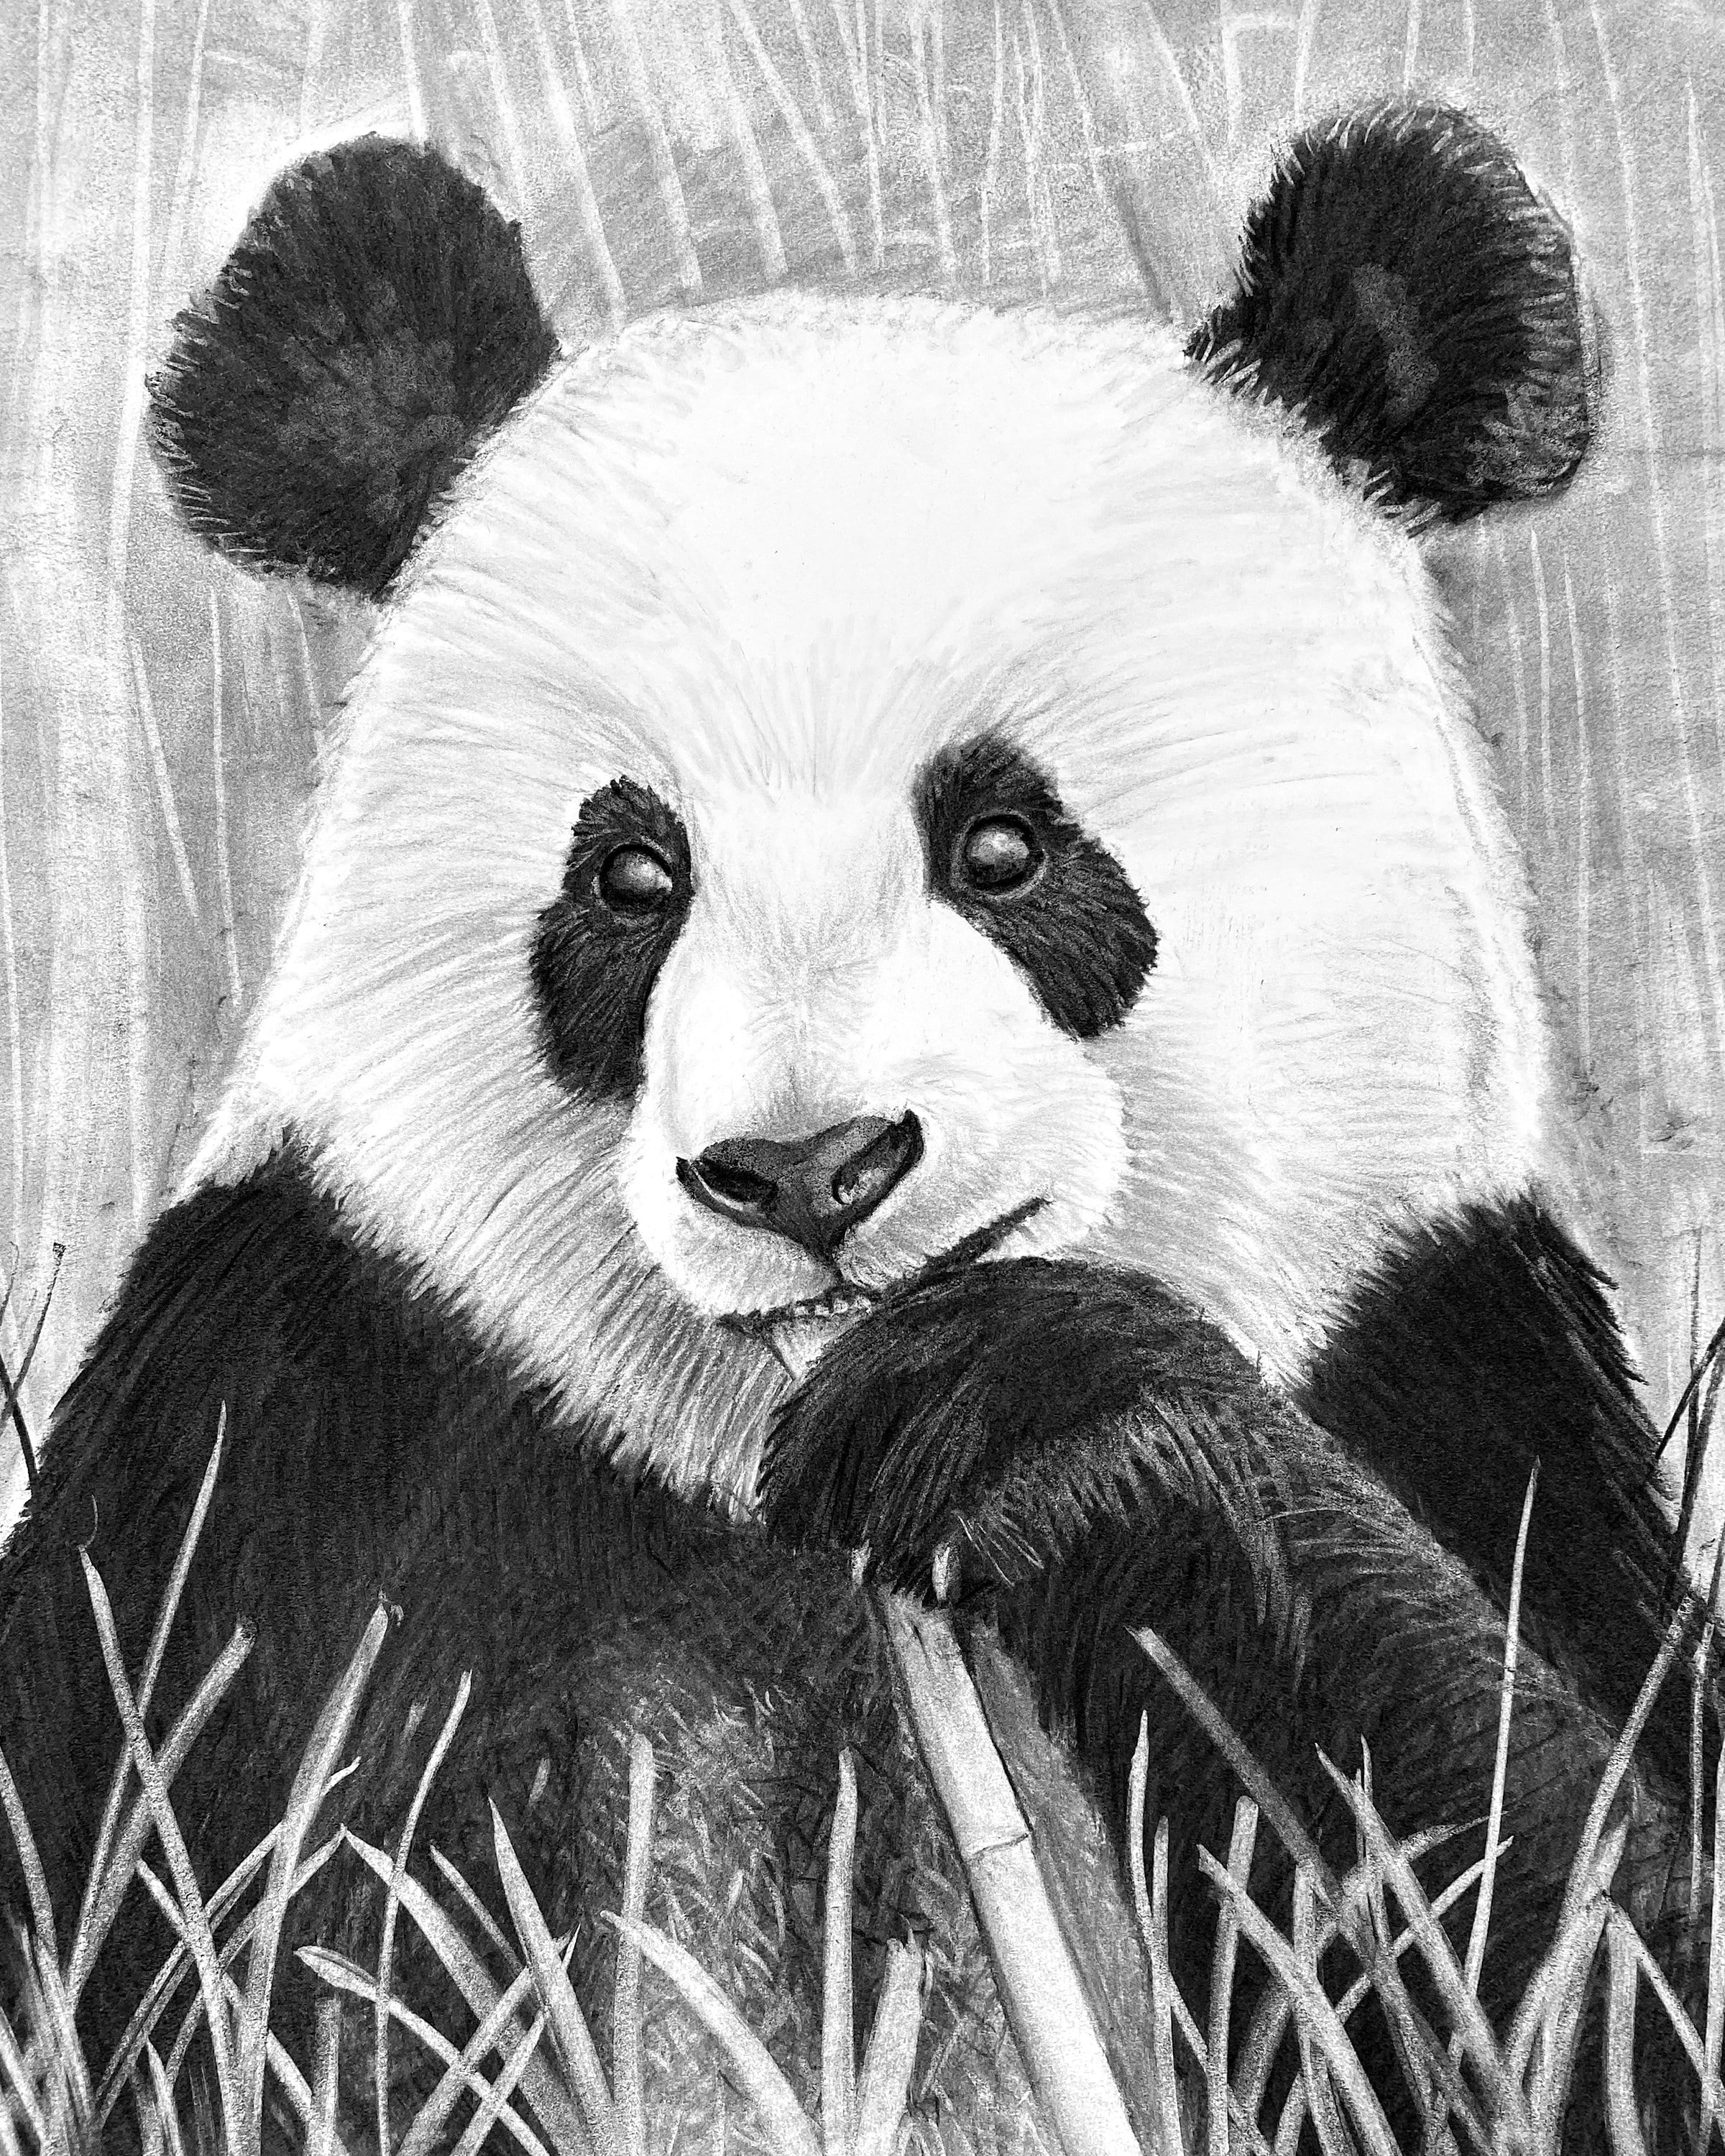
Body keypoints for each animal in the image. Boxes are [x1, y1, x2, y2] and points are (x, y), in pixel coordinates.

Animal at [0, 97, 1707, 2153]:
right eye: (629, 876)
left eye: (1007, 845)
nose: (808, 1172)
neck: (784, 1474)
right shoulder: (298, 1429)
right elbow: (173, 1957)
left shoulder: (1452, 1358)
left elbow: (1581, 1955)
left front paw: (1048, 1421)